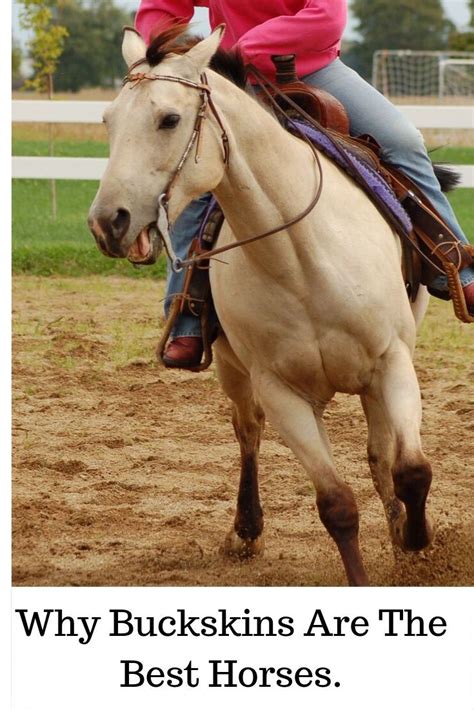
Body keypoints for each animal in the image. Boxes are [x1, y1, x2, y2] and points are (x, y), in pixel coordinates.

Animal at [88, 26, 434, 586]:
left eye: (169, 118)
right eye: (108, 120)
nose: (108, 222)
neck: (302, 259)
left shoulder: (393, 361)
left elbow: (411, 470)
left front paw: (417, 542)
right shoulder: (280, 390)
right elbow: (336, 504)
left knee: (382, 453)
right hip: (233, 368)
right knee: (247, 431)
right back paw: (246, 531)